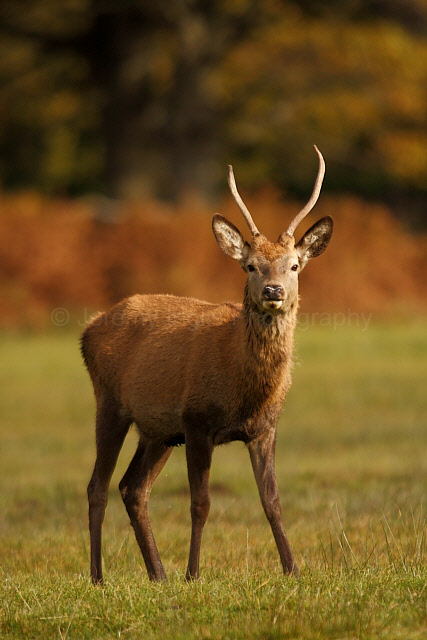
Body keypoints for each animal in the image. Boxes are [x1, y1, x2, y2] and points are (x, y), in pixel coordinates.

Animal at [81, 146, 333, 584]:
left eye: (294, 265)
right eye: (250, 265)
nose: (273, 290)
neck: (243, 390)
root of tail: (87, 329)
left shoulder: (265, 428)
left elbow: (272, 500)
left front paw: (293, 570)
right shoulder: (197, 420)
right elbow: (200, 502)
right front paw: (193, 574)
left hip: (158, 430)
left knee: (133, 488)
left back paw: (157, 575)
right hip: (110, 402)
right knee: (98, 485)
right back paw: (99, 576)